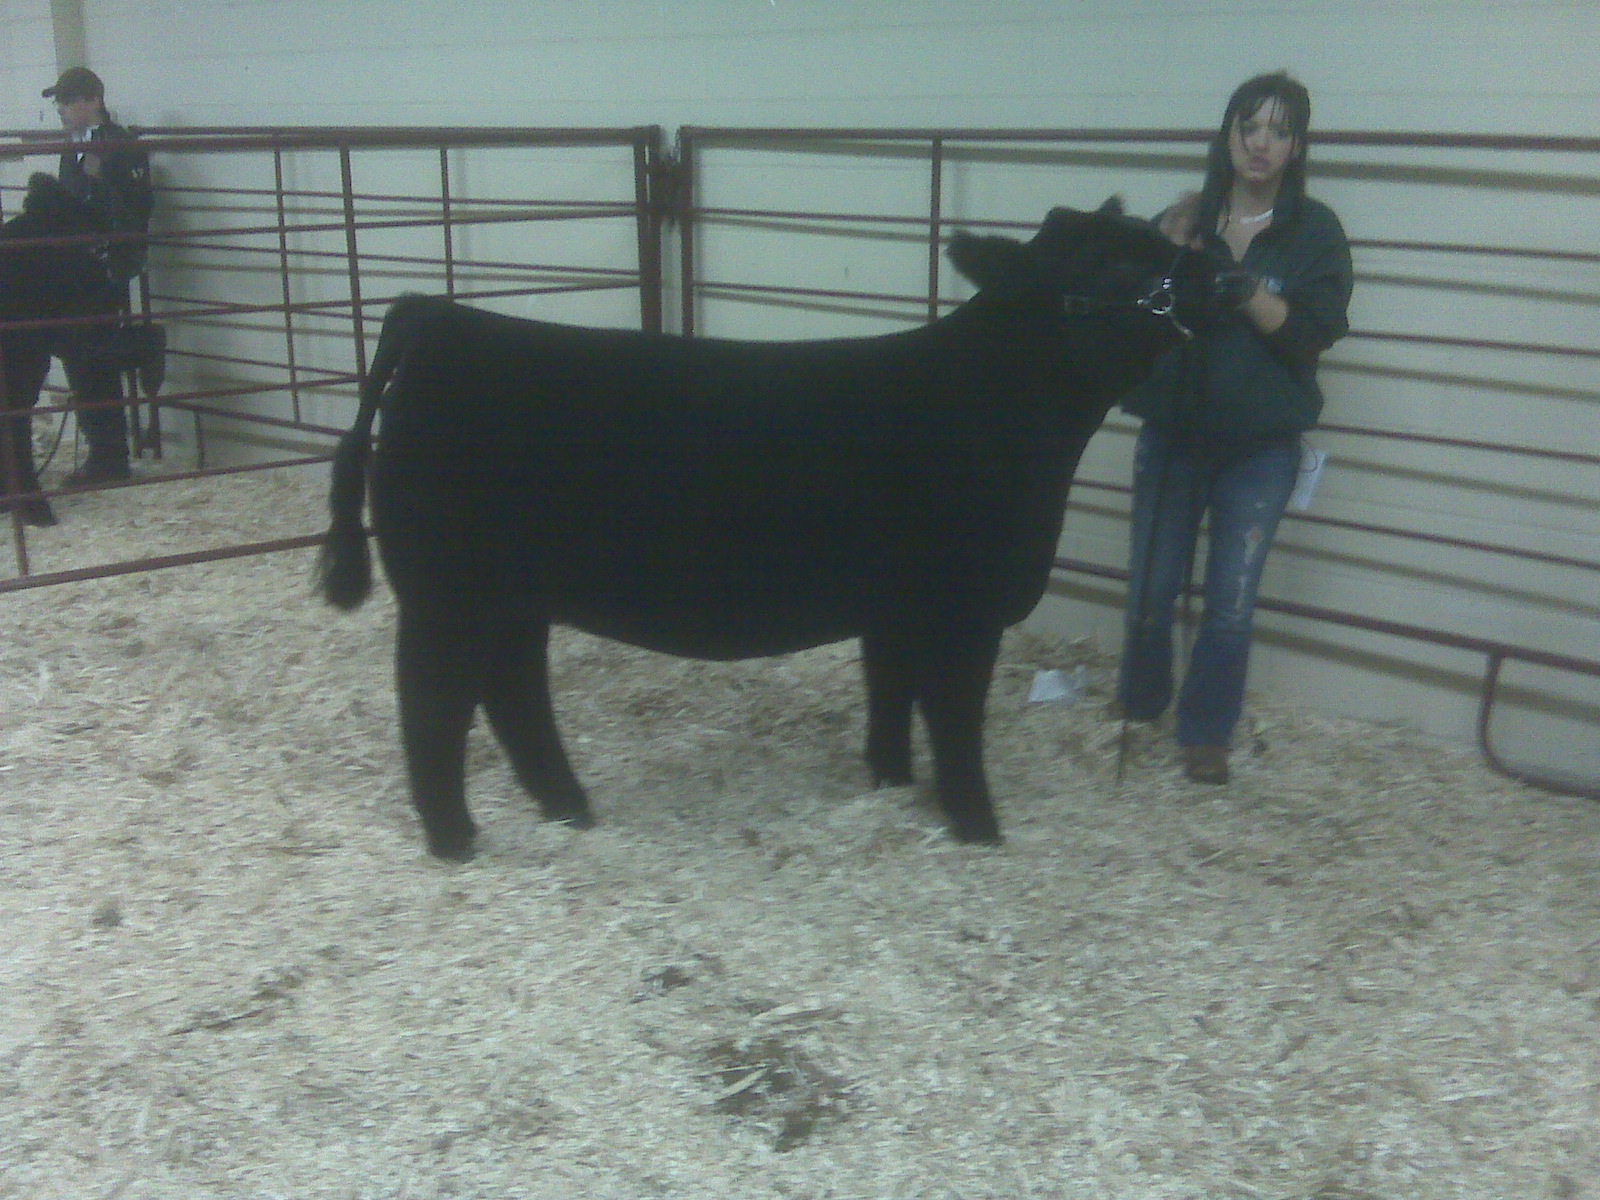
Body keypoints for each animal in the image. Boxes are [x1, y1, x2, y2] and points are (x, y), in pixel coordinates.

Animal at [320, 199, 1216, 861]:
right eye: (1111, 262)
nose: (1211, 267)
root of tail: (439, 318)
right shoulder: (961, 612)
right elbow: (955, 716)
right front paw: (978, 825)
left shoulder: (896, 610)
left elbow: (890, 692)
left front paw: (890, 779)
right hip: (448, 597)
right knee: (435, 701)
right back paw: (456, 838)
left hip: (511, 598)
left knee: (511, 691)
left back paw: (568, 805)